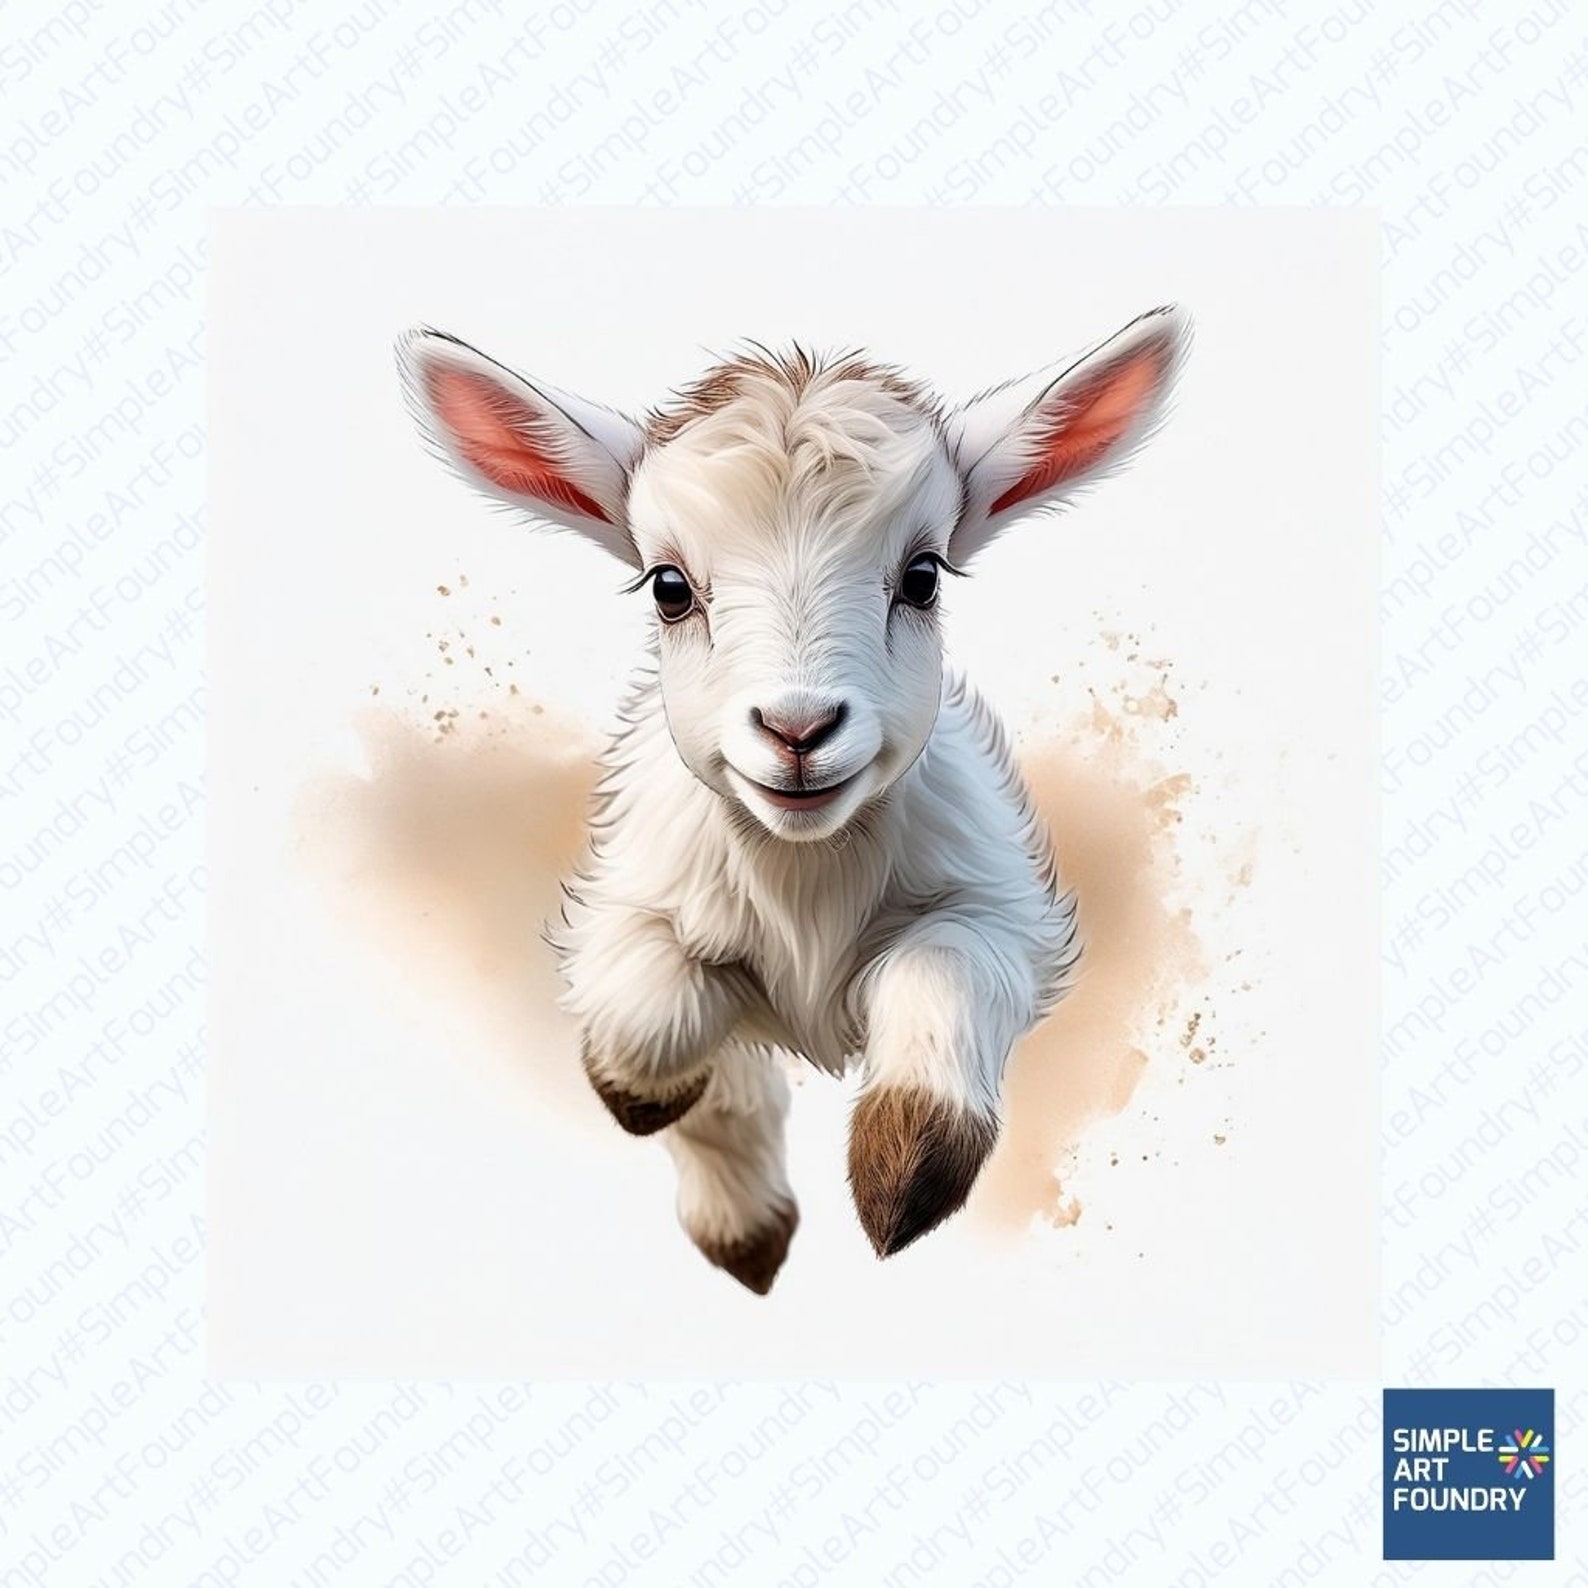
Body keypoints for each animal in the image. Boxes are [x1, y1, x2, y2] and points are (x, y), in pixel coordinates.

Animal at [397, 307, 1188, 1293]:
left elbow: (944, 972)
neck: (805, 874)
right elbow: (654, 1027)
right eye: (668, 587)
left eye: (924, 576)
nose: (798, 729)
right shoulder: (631, 904)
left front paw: (902, 1181)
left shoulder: (1002, 911)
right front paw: (655, 1113)